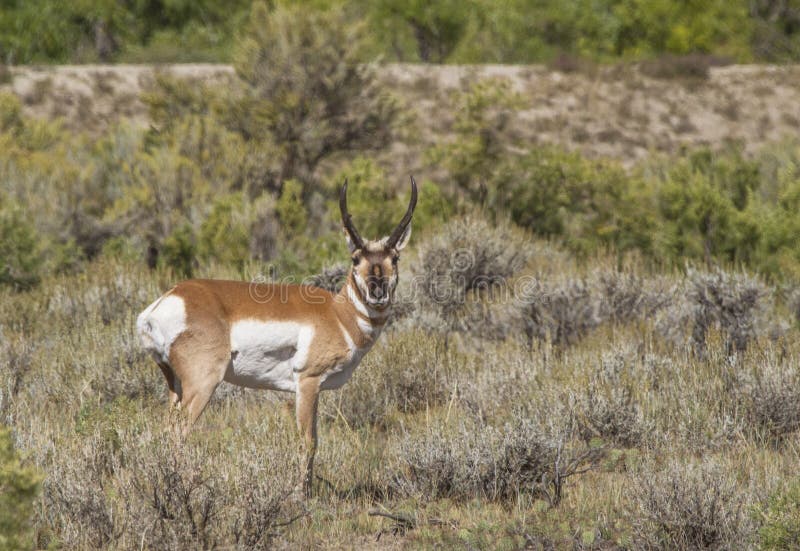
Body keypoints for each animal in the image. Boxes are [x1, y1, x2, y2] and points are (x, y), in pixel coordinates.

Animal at [136, 178, 417, 496]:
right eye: (356, 258)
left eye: (394, 257)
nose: (377, 290)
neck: (337, 313)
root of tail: (168, 300)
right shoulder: (307, 383)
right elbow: (308, 442)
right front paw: (300, 495)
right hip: (202, 384)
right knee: (179, 430)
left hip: (175, 385)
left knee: (165, 430)